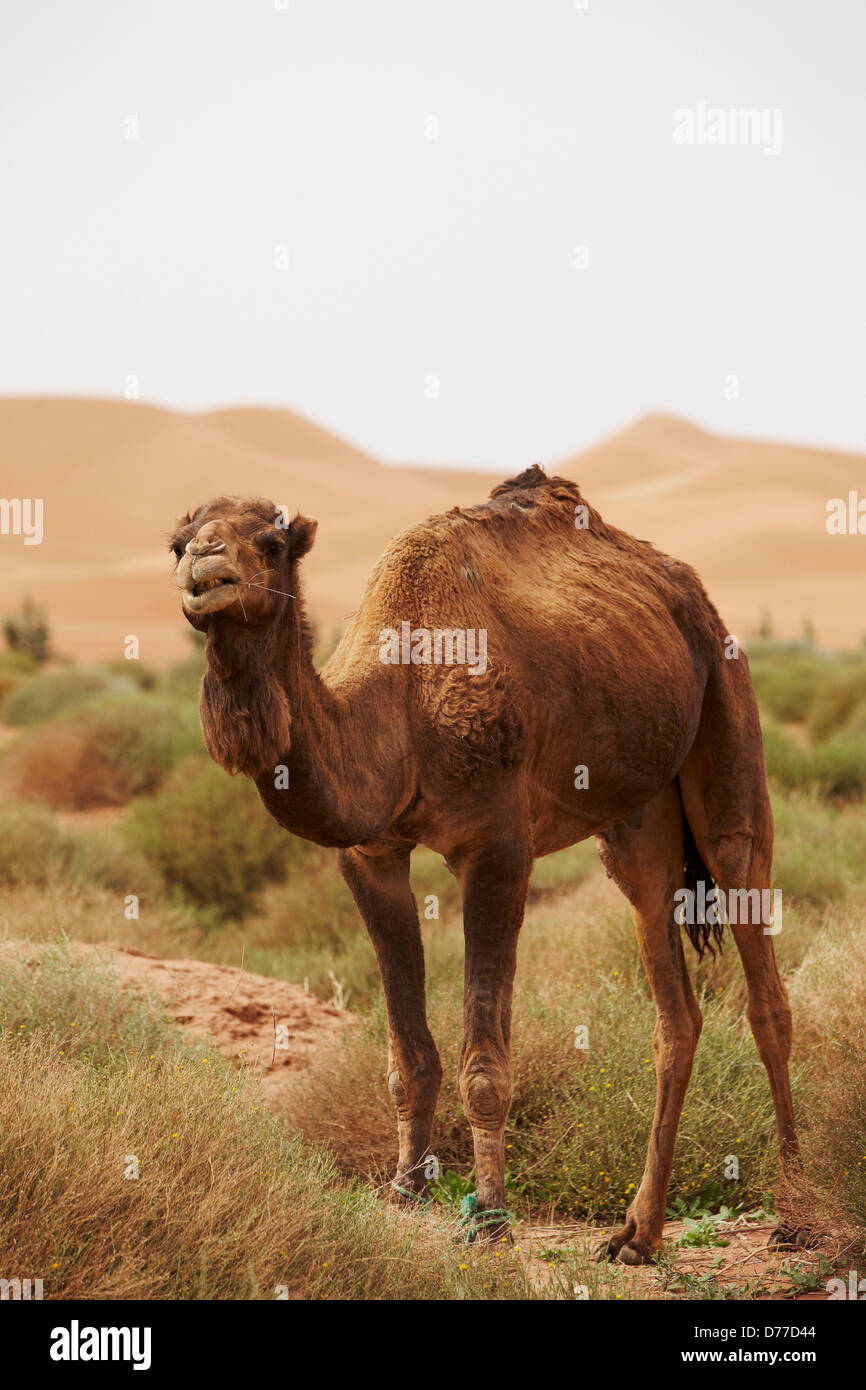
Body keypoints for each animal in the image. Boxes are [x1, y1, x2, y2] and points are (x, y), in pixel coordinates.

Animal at [169, 464, 800, 1262]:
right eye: (177, 542)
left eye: (272, 543)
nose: (206, 568)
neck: (401, 701)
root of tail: (691, 596)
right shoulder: (371, 853)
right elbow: (409, 1054)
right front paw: (405, 1187)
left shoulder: (498, 847)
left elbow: (486, 1062)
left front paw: (491, 1214)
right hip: (636, 822)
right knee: (672, 999)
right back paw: (637, 1232)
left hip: (727, 709)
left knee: (759, 963)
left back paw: (796, 1214)